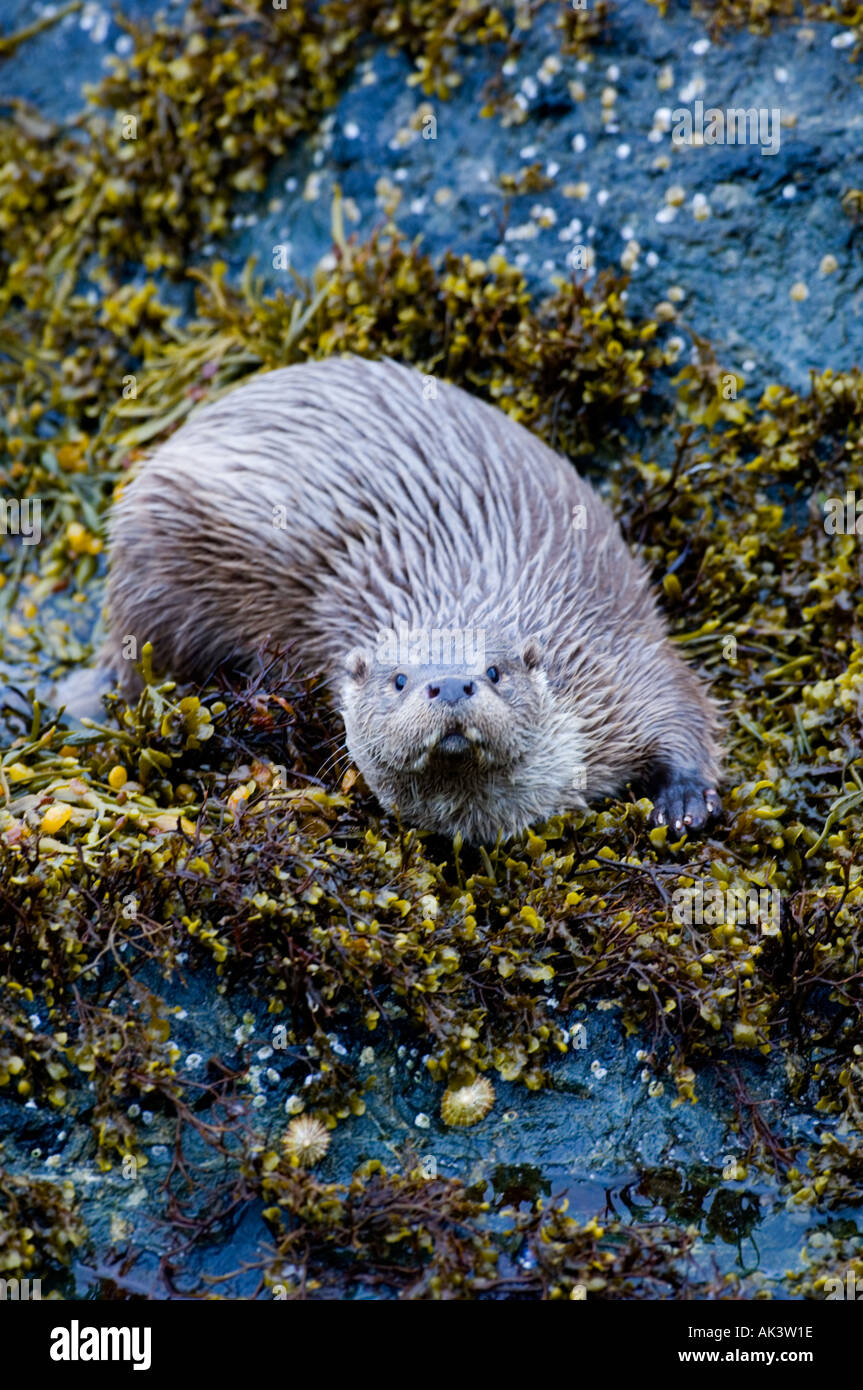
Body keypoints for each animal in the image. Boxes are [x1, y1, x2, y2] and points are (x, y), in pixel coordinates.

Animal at [59, 355, 722, 841]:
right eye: (399, 679)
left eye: (494, 671)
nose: (450, 684)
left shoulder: (616, 659)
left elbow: (680, 708)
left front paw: (684, 799)